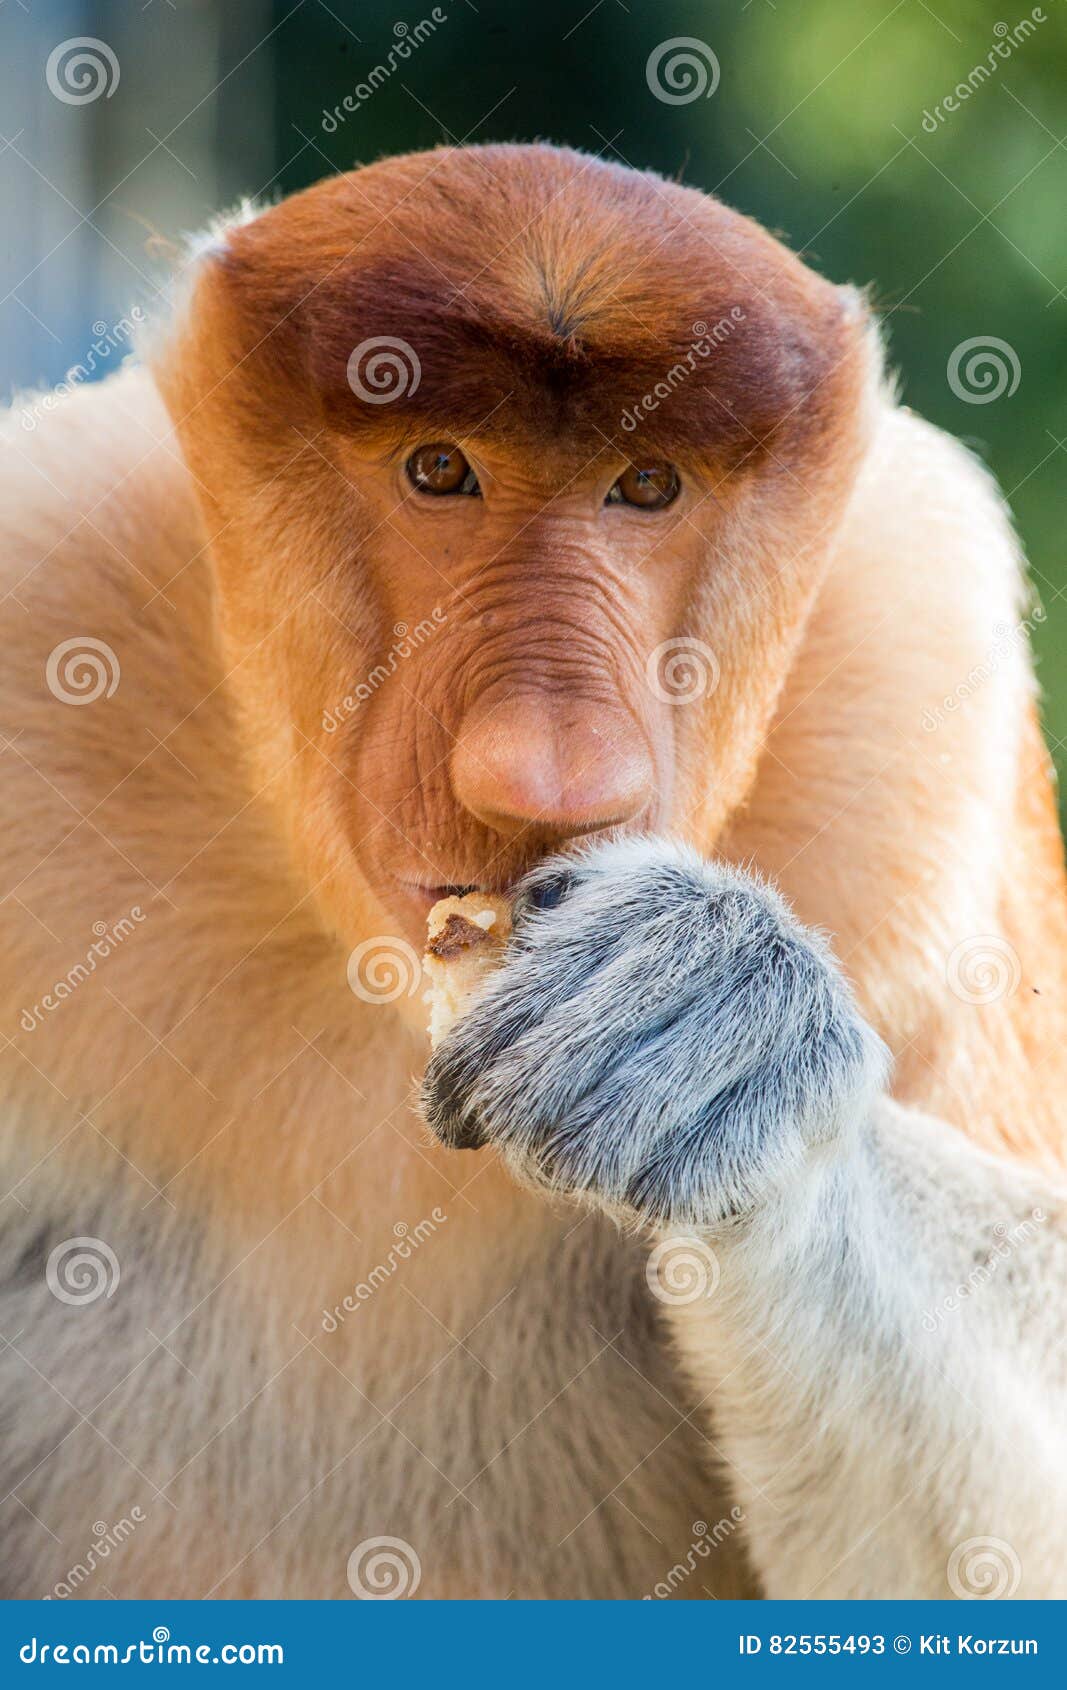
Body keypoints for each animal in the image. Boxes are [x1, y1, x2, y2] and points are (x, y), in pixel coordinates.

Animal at [0, 141, 1064, 1600]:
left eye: (647, 486)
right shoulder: (35, 588)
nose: (547, 773)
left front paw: (714, 1022)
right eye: (439, 468)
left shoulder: (922, 662)